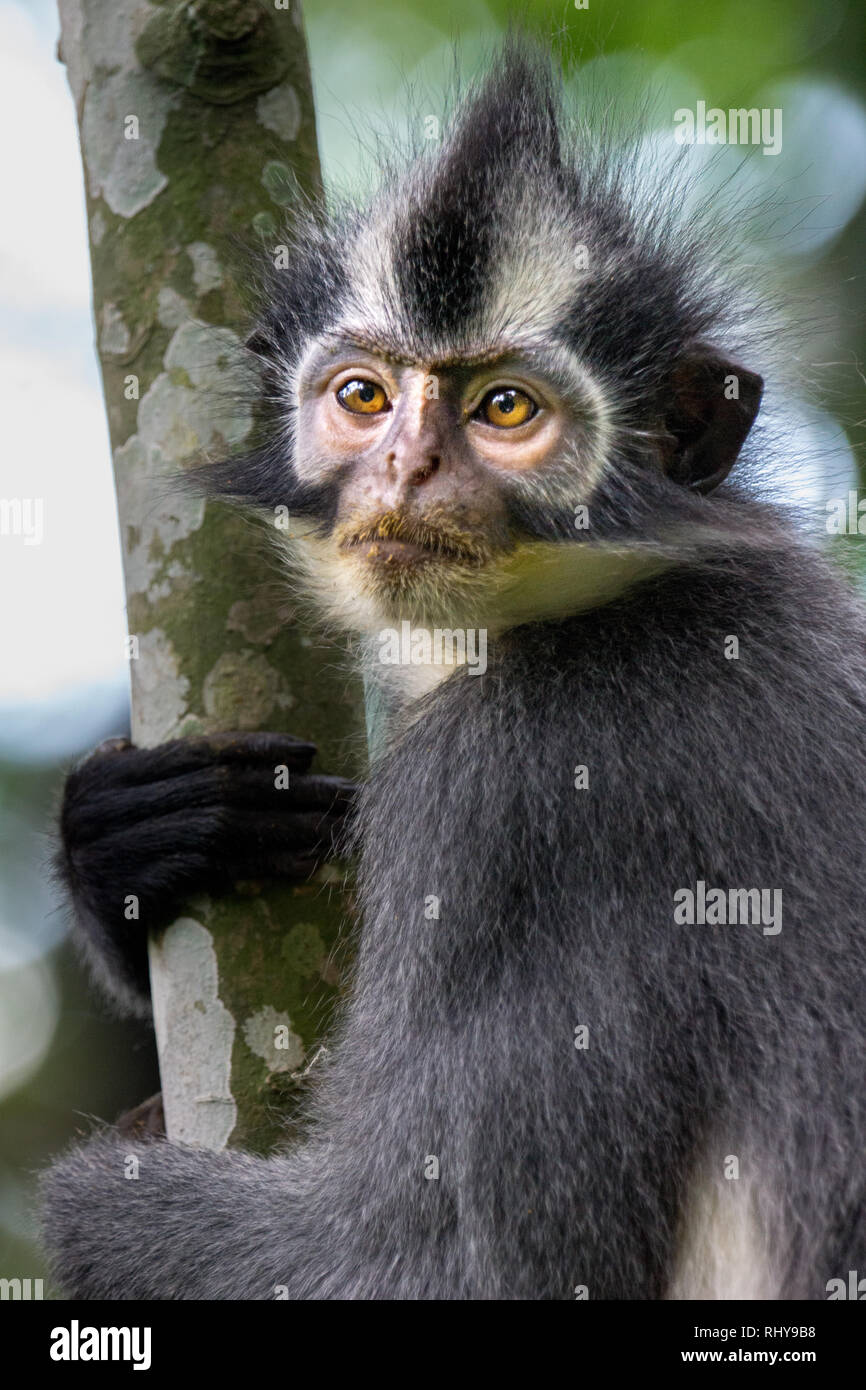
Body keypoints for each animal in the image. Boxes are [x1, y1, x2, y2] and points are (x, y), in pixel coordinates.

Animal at [41, 45, 866, 1301]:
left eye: (503, 408)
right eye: (364, 396)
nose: (406, 471)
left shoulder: (507, 798)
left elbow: (437, 1266)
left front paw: (93, 1194)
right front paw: (126, 835)